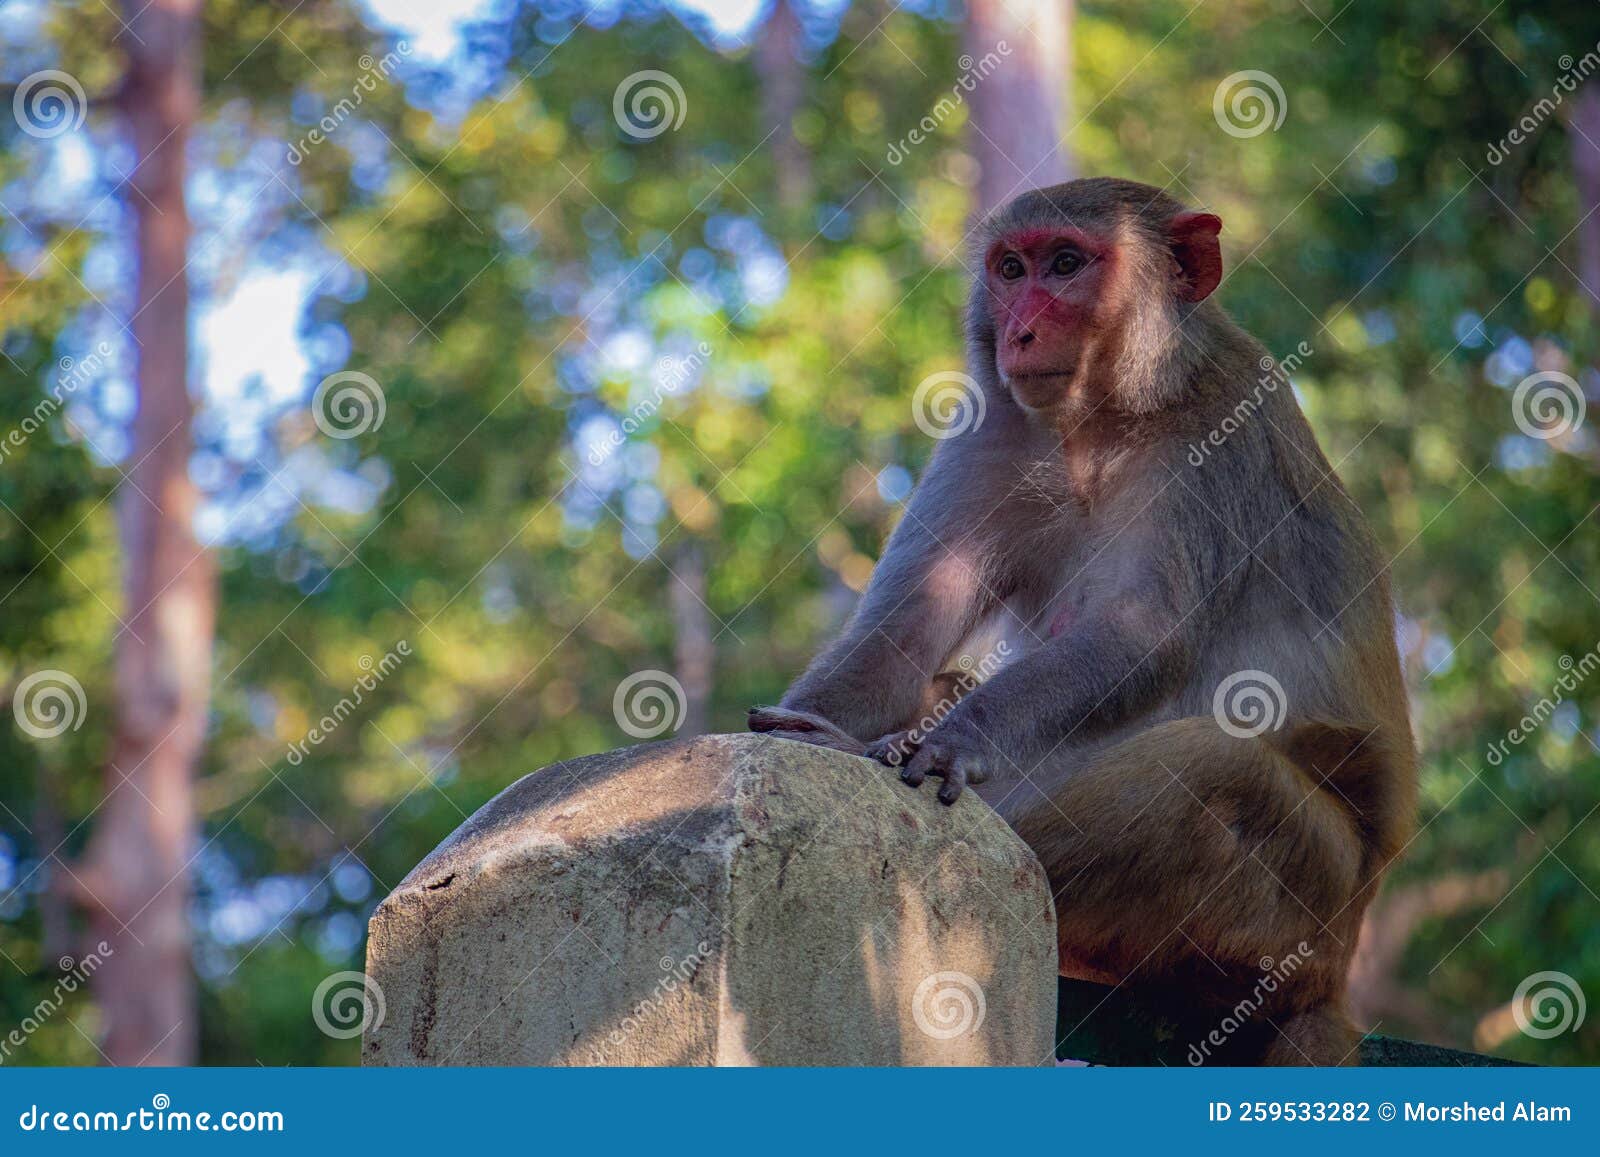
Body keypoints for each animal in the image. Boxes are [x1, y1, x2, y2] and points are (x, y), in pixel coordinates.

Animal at [749, 177, 1416, 1065]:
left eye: (1067, 264)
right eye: (1011, 269)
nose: (1021, 330)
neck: (1102, 417)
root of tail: (1342, 961)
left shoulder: (1219, 435)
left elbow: (1141, 637)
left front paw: (947, 741)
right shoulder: (994, 426)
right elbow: (902, 637)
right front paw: (802, 728)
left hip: (1301, 916)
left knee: (1209, 772)